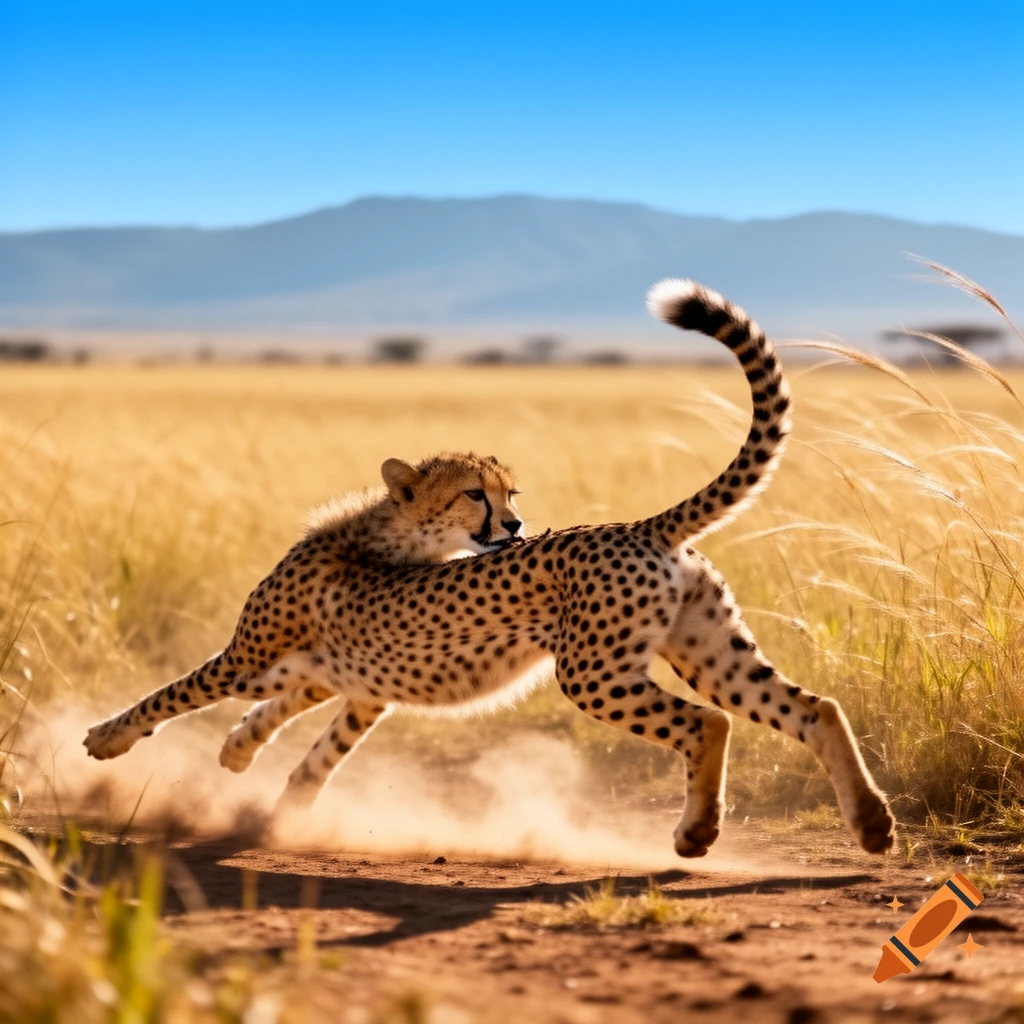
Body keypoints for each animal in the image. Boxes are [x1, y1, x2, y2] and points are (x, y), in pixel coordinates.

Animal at [84, 279, 895, 858]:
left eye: (509, 495)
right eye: (477, 493)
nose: (514, 527)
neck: (392, 536)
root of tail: (640, 526)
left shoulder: (254, 659)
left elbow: (175, 691)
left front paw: (108, 739)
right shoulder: (345, 682)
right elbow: (310, 741)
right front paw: (260, 783)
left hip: (592, 672)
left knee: (708, 722)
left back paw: (697, 832)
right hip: (710, 647)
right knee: (812, 708)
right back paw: (870, 823)